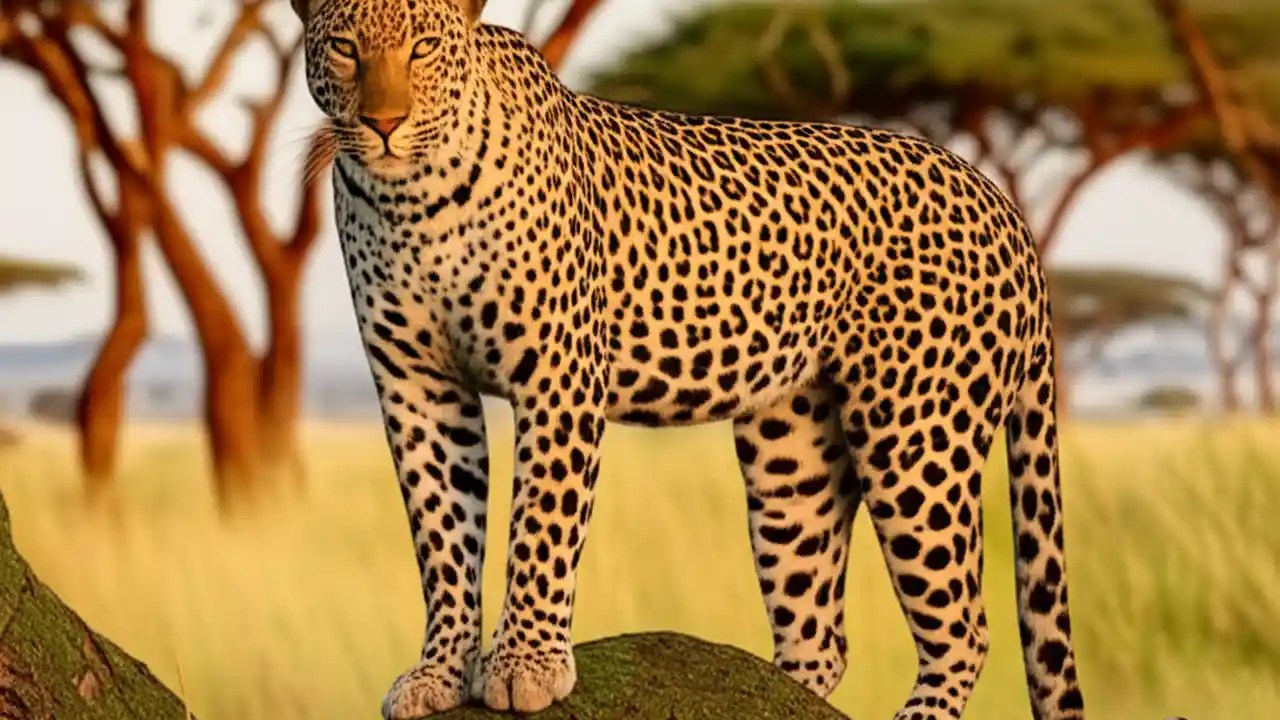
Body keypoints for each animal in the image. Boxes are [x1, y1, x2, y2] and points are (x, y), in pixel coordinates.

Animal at [291, 1, 1086, 718]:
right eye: (345, 50)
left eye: (424, 47)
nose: (384, 124)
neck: (410, 199)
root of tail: (1002, 202)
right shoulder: (417, 386)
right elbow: (442, 532)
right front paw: (439, 673)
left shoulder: (557, 377)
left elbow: (541, 521)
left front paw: (525, 665)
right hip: (792, 452)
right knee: (818, 635)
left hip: (916, 438)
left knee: (965, 630)